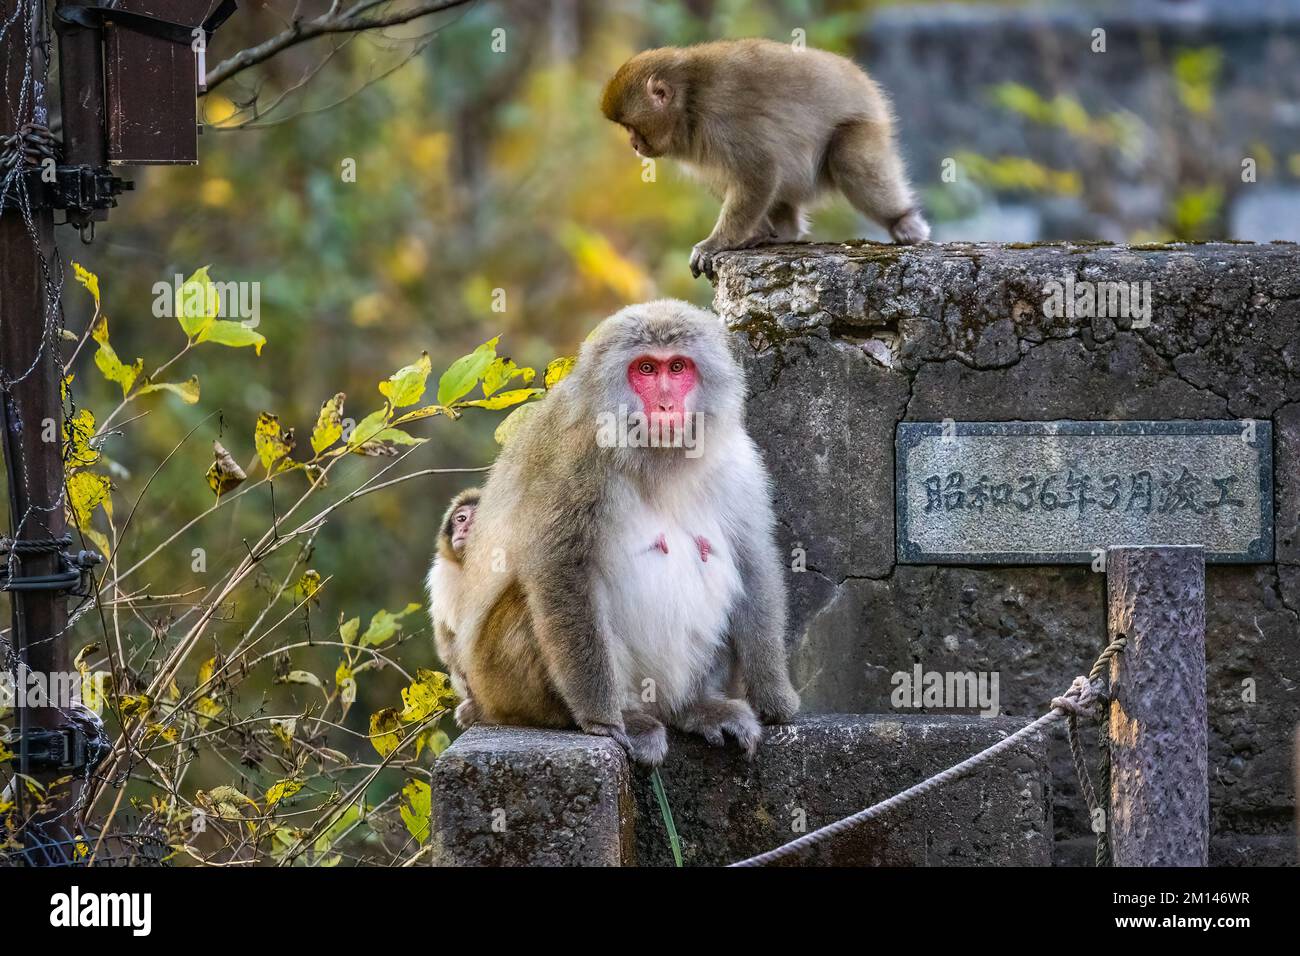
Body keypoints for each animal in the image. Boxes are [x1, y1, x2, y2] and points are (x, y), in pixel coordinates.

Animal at [449, 299, 800, 766]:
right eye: (646, 369)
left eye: (678, 367)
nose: (667, 407)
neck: (657, 455)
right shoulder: (577, 455)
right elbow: (560, 569)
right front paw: (601, 721)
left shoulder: (738, 461)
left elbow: (753, 561)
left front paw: (776, 699)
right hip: (499, 683)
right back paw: (615, 718)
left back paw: (695, 708)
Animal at [600, 38, 930, 279]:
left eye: (631, 127)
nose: (633, 144)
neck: (689, 102)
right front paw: (750, 234)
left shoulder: (722, 120)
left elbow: (758, 172)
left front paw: (715, 244)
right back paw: (785, 231)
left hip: (865, 128)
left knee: (848, 159)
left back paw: (903, 221)